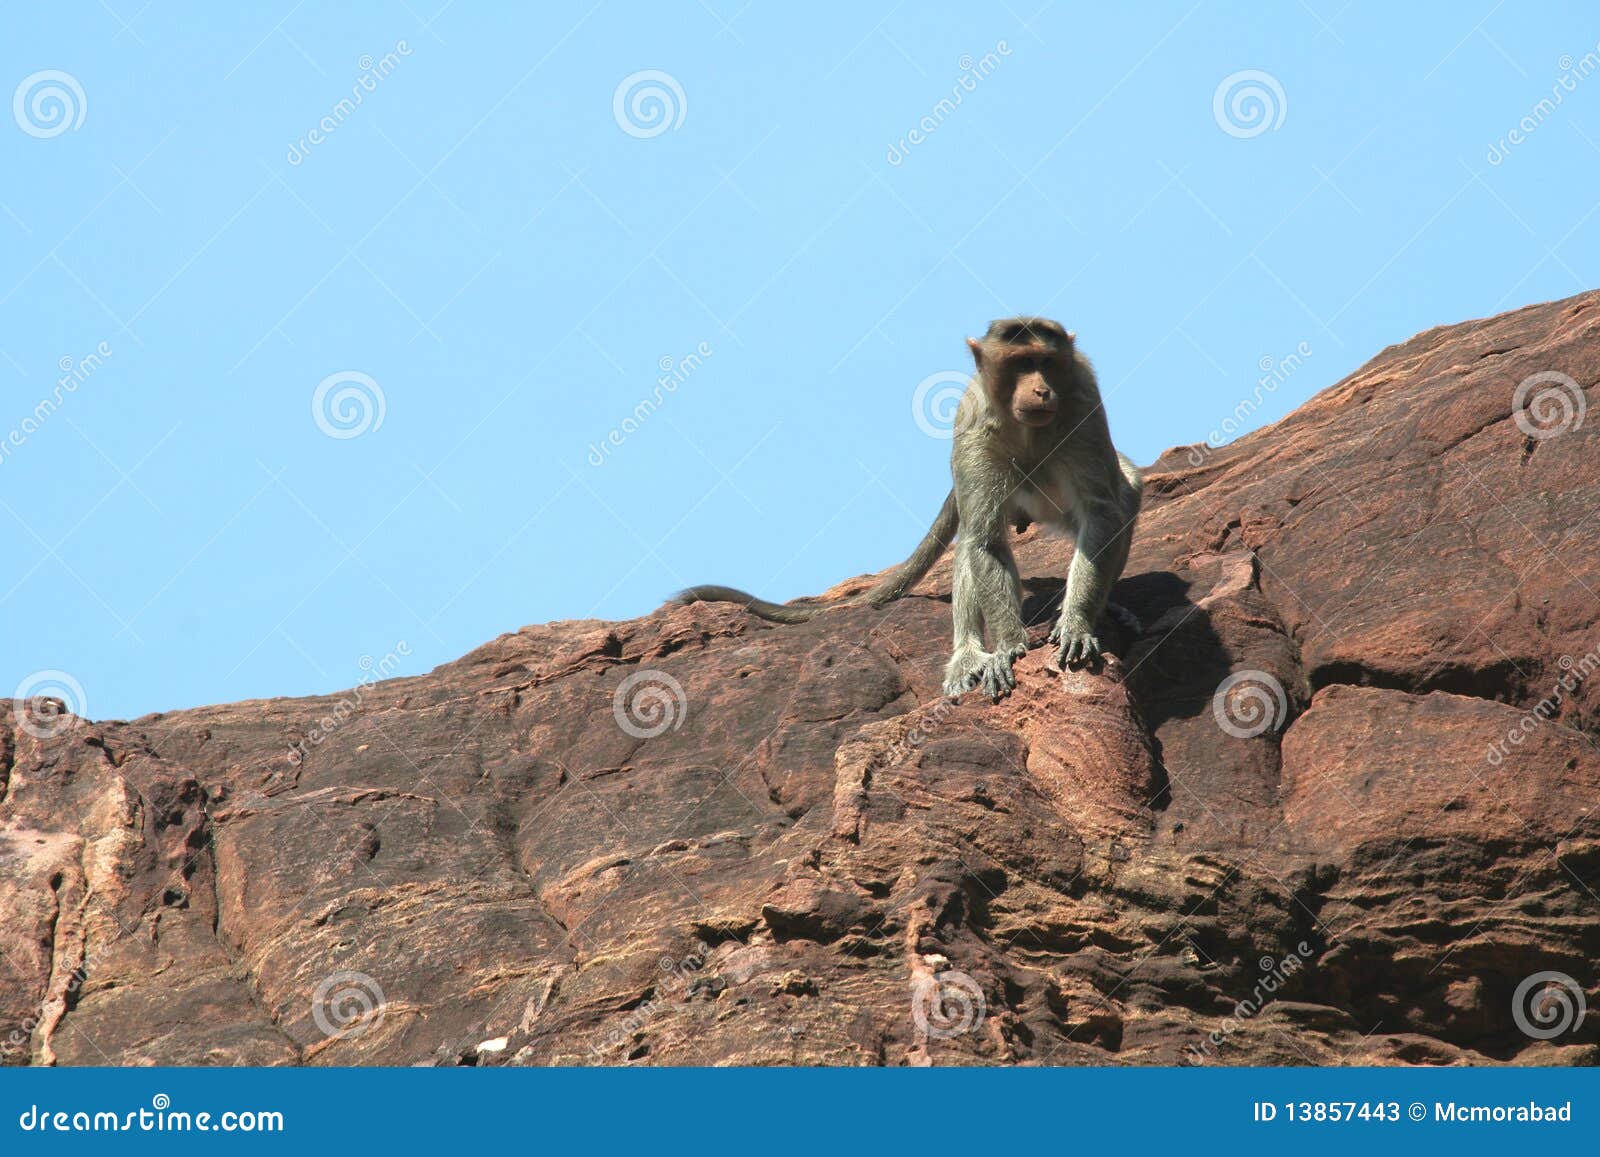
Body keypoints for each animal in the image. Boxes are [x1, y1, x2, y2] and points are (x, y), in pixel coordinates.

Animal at [677, 317, 1143, 701]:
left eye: (1046, 362)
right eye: (1021, 363)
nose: (1041, 389)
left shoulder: (1083, 398)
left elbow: (1102, 511)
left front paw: (1077, 622)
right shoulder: (972, 423)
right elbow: (984, 542)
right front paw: (1009, 646)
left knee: (1126, 493)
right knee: (972, 535)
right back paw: (969, 654)